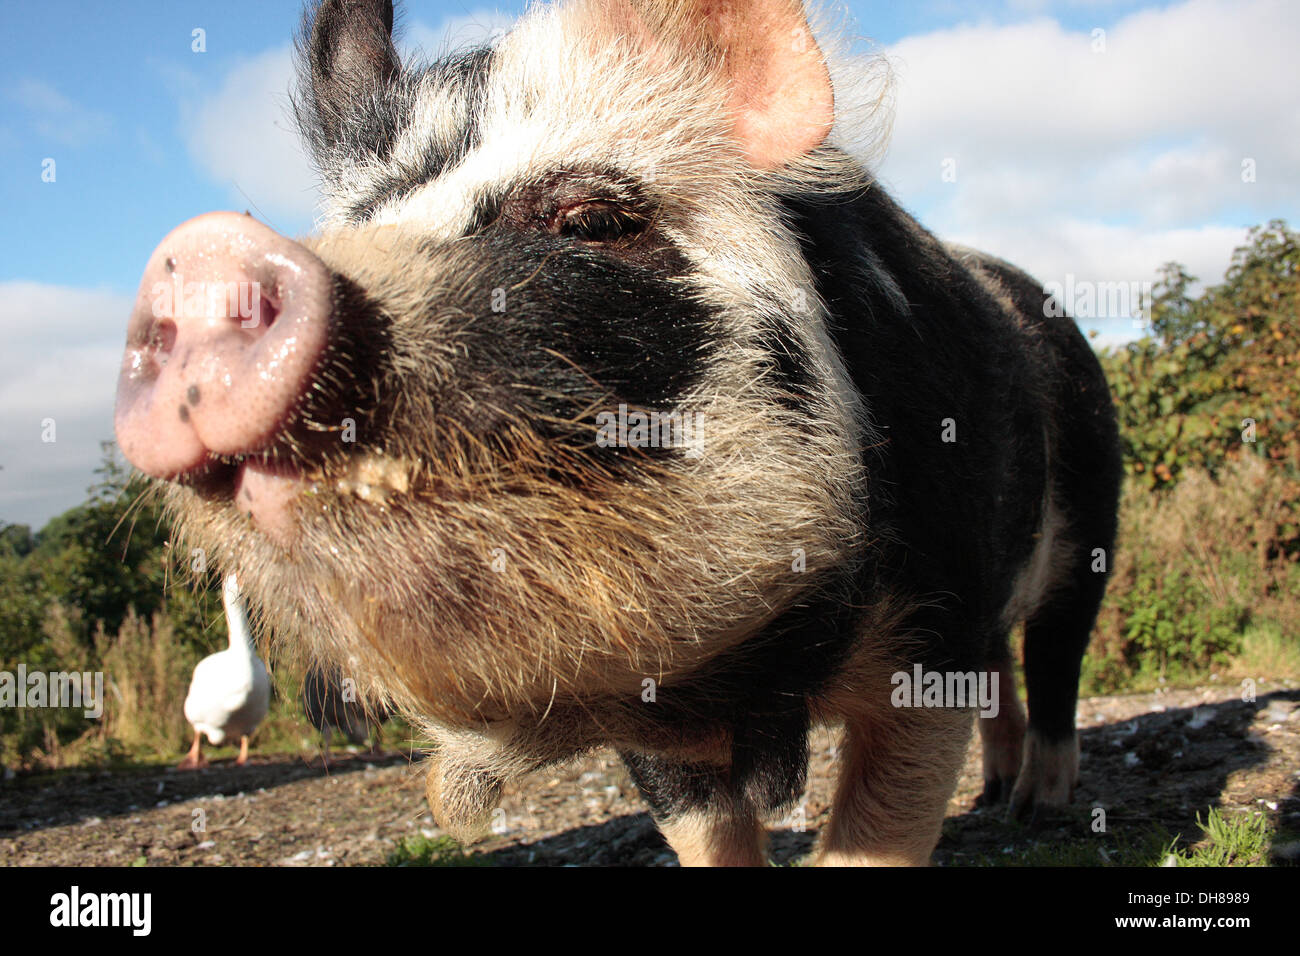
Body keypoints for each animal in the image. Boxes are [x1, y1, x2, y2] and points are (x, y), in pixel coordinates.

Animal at [113, 0, 1122, 866]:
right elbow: (705, 835)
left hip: (1094, 512)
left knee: (1055, 656)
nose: (202, 254)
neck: (753, 679)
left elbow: (878, 826)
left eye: (594, 218)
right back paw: (994, 799)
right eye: (357, 223)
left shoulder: (938, 620)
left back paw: (1039, 810)